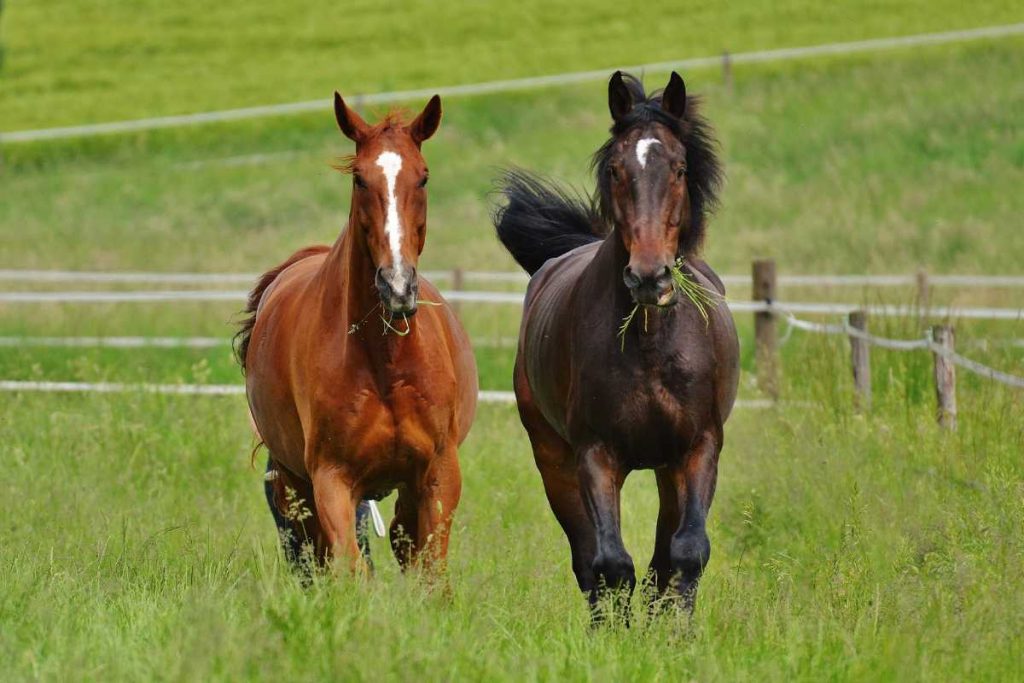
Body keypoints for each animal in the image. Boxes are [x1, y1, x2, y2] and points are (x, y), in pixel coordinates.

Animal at [236, 92, 478, 574]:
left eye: (423, 177)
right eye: (360, 180)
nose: (397, 285)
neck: (384, 362)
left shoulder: (438, 474)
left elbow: (430, 571)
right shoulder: (332, 479)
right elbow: (351, 568)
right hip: (297, 485)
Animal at [493, 71, 739, 618]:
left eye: (680, 168)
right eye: (614, 169)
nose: (649, 277)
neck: (650, 346)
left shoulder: (699, 447)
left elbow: (686, 552)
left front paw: (677, 631)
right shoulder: (595, 455)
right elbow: (609, 563)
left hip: (668, 468)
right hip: (554, 460)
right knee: (588, 559)